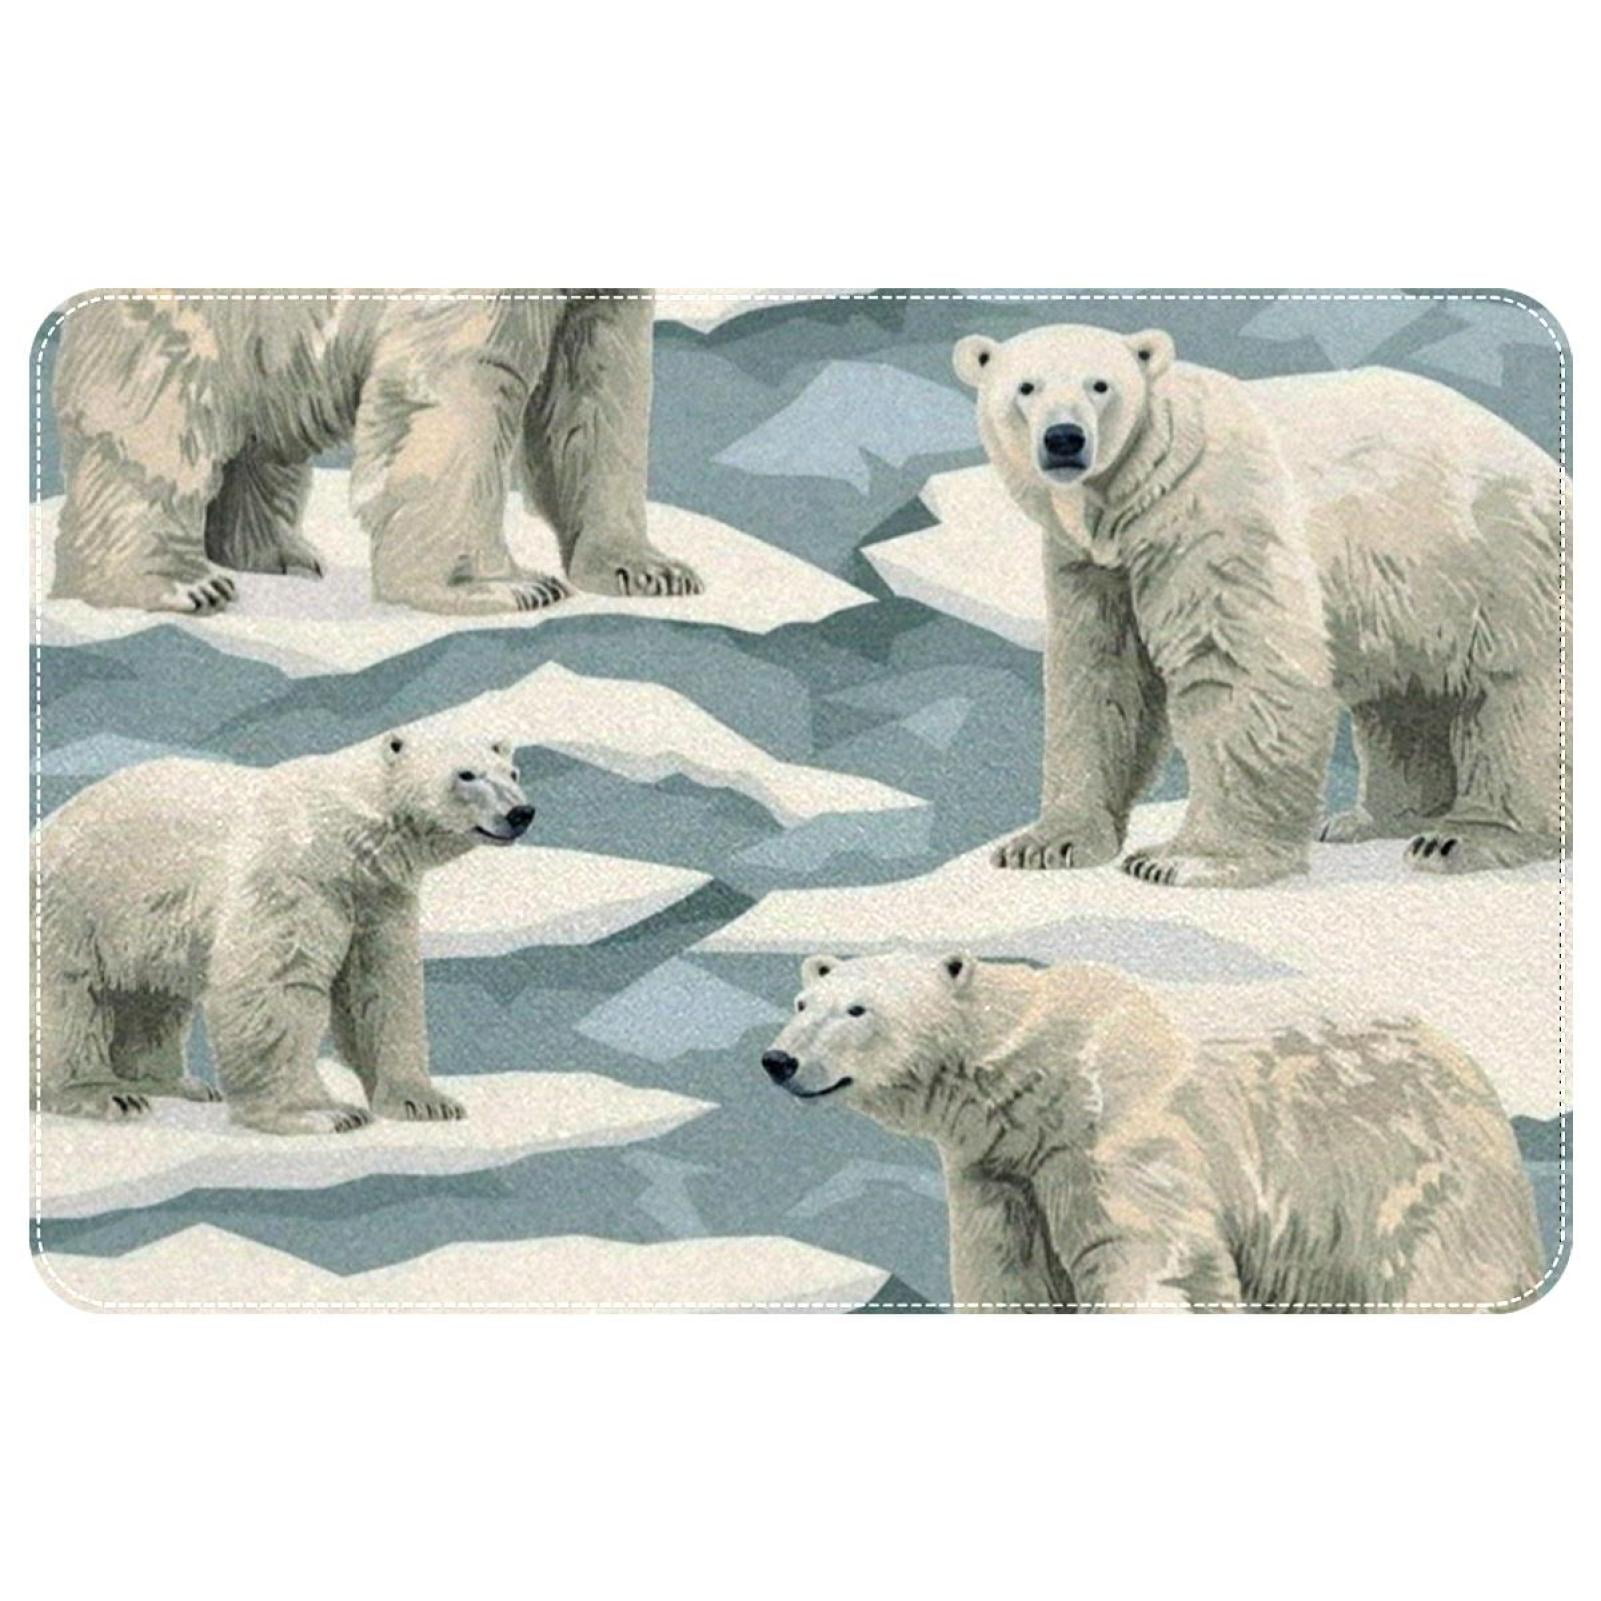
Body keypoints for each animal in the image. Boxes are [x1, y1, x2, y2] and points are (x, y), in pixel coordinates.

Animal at [32, 731, 533, 1134]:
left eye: (512, 770)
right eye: (466, 774)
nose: (521, 812)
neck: (344, 833)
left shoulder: (377, 896)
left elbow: (382, 989)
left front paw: (425, 1102)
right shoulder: (294, 875)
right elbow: (274, 983)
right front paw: (324, 1112)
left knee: (151, 997)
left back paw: (174, 1083)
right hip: (79, 903)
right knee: (70, 996)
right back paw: (104, 1092)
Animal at [50, 291, 702, 617]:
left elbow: (598, 384)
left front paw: (648, 569)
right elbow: (460, 381)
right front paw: (503, 585)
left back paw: (277, 552)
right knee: (162, 413)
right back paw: (182, 582)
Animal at [761, 953, 1547, 1312]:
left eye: (857, 1009)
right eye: (801, 1000)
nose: (778, 1060)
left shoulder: (1113, 1136)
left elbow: (1157, 1257)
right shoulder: (1000, 1169)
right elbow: (1007, 1272)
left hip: (1406, 1179)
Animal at [953, 322, 1567, 885]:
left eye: (1100, 384)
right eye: (1026, 386)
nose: (1064, 438)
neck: (1138, 490)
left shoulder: (1214, 513)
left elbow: (1240, 668)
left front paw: (1182, 859)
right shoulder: (1093, 565)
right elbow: (1101, 676)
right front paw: (1047, 843)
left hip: (1494, 565)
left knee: (1511, 694)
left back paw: (1463, 836)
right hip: (1407, 593)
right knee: (1403, 700)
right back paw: (1374, 819)